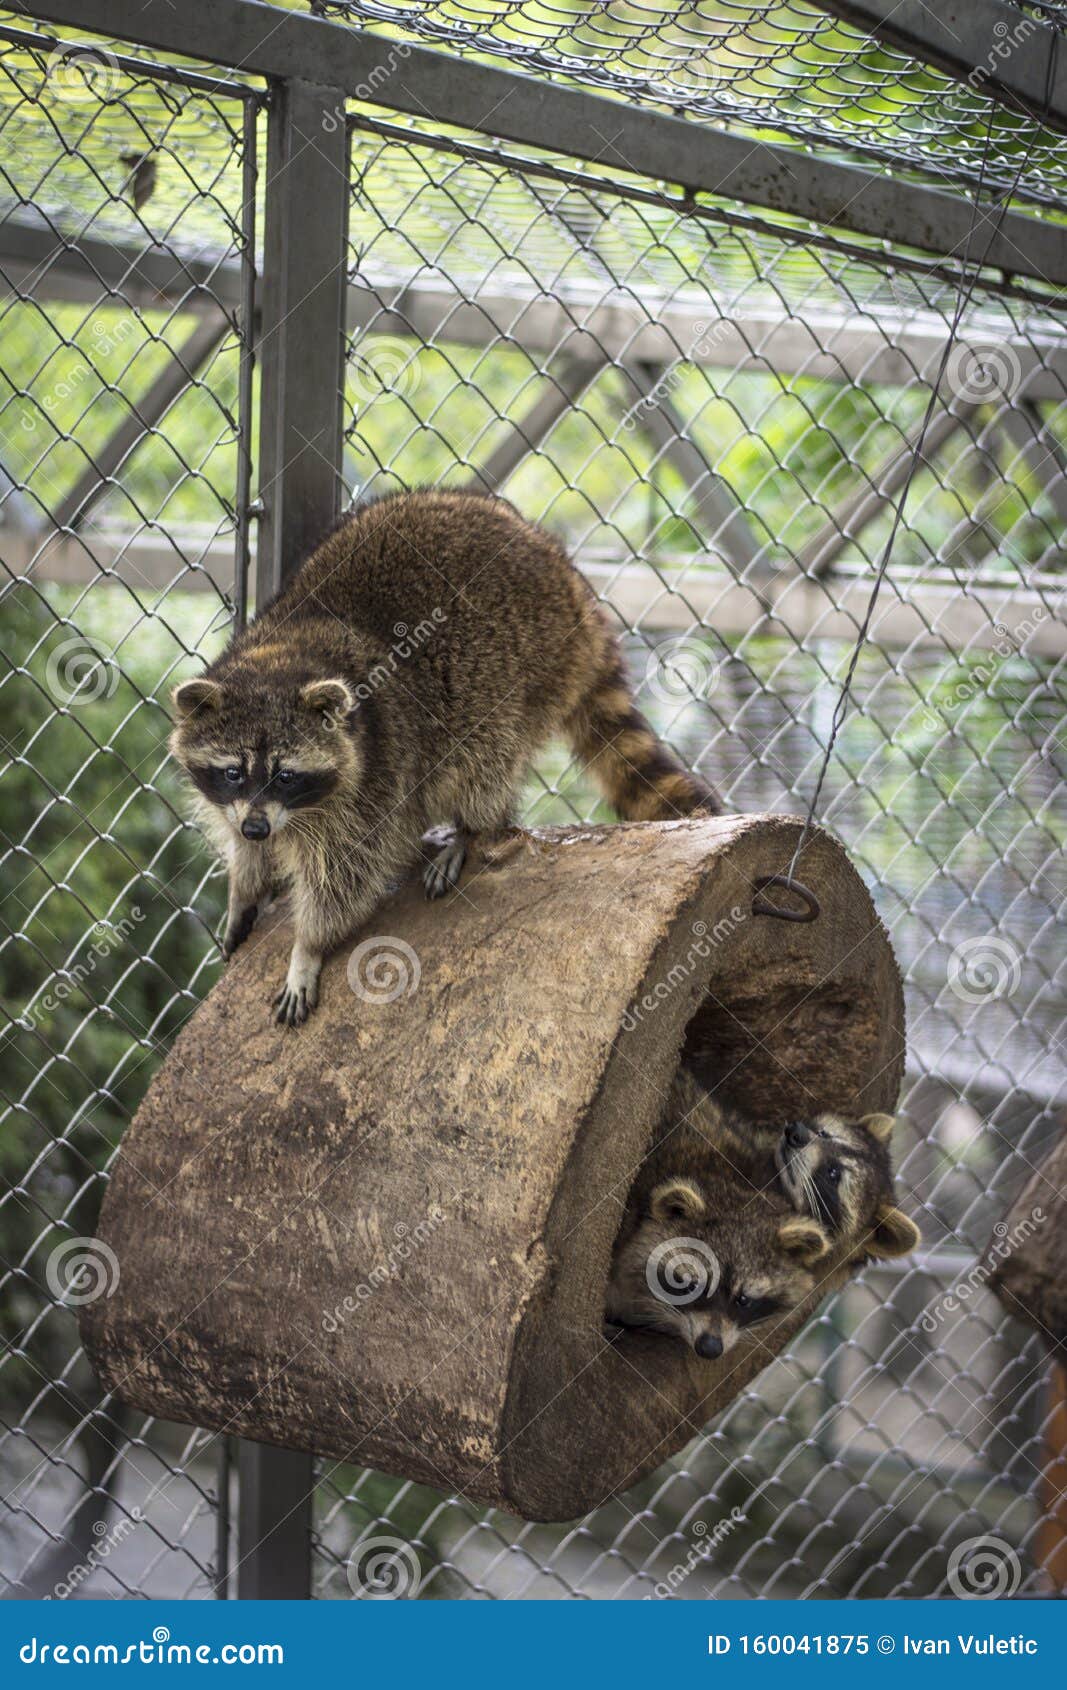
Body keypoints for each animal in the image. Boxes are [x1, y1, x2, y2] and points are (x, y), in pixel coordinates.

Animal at [170, 489, 721, 1025]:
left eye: (286, 775)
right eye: (233, 772)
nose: (257, 828)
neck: (284, 656)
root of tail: (565, 573)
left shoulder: (378, 768)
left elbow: (348, 877)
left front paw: (308, 947)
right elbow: (245, 844)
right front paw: (244, 885)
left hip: (529, 663)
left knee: (484, 753)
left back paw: (472, 828)